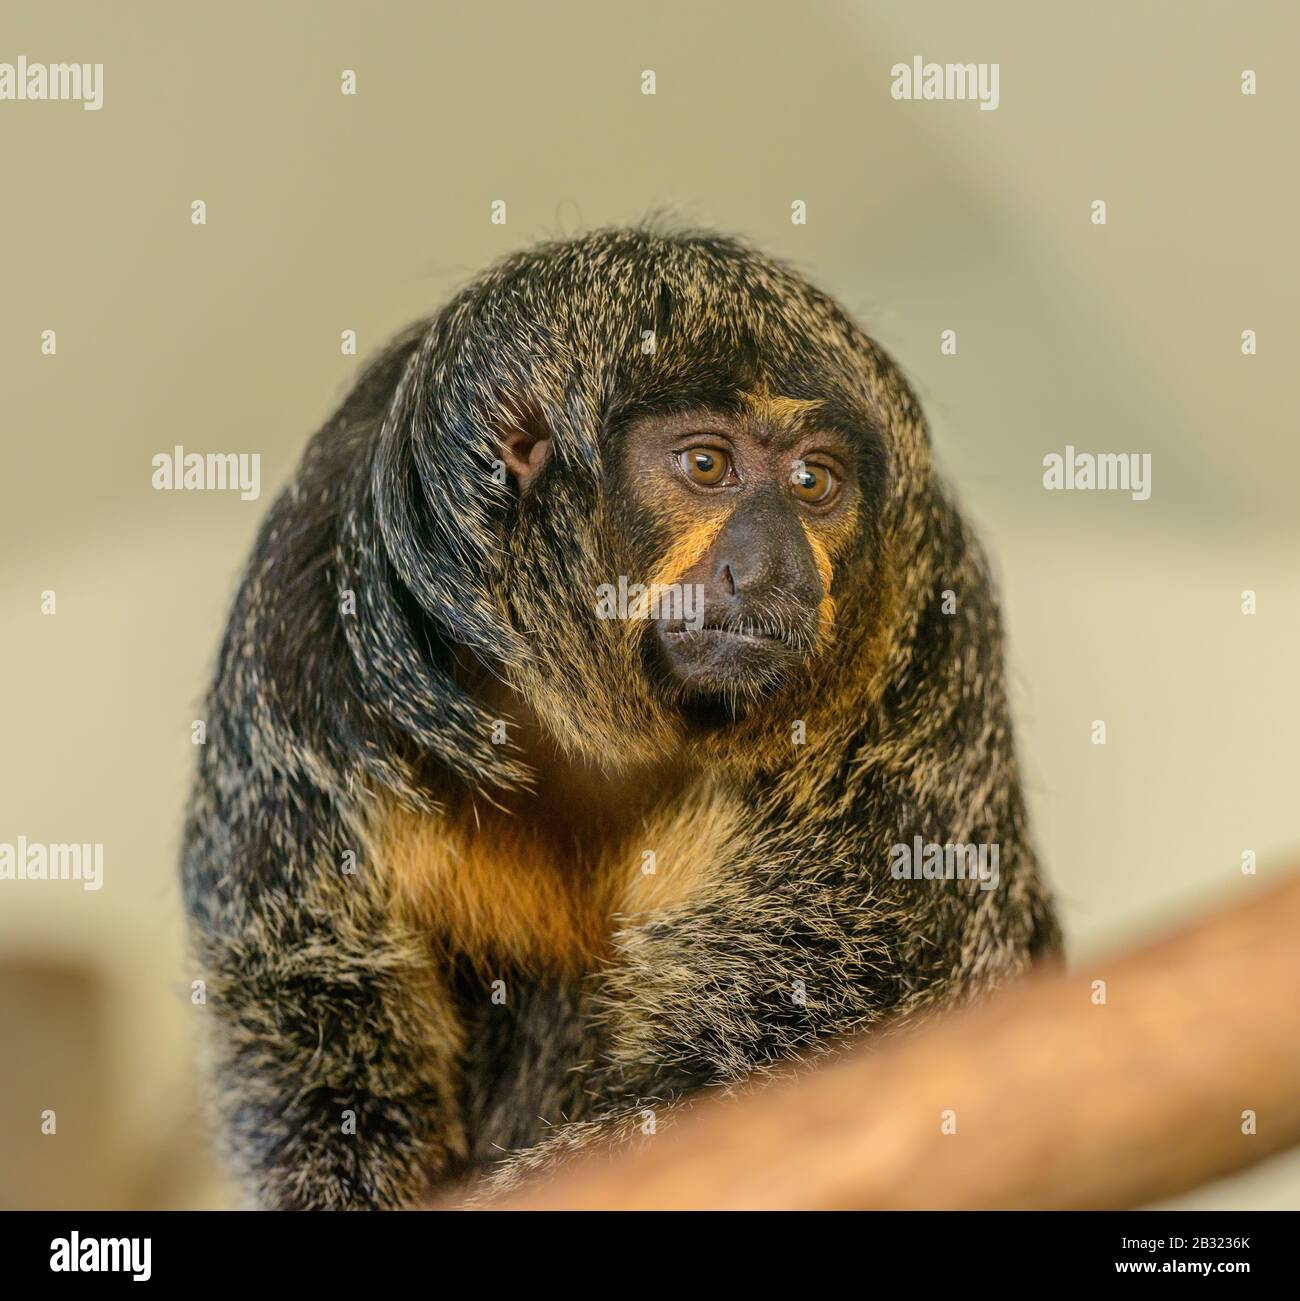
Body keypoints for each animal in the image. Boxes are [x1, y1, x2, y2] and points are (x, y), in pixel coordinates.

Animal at [180, 226, 1060, 1210]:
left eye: (814, 482)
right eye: (706, 465)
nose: (777, 568)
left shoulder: (929, 638)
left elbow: (822, 1036)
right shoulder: (305, 634)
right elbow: (306, 988)